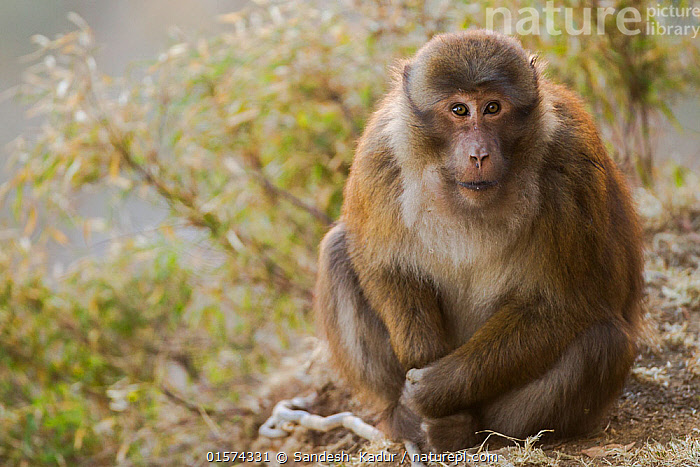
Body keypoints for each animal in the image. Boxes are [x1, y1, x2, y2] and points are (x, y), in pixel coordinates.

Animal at [314, 30, 643, 453]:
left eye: (492, 108)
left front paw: (430, 391)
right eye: (459, 110)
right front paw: (418, 388)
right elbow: (381, 262)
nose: (479, 154)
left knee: (602, 343)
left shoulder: (571, 166)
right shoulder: (380, 153)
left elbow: (564, 303)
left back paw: (474, 430)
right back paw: (403, 418)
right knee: (338, 252)